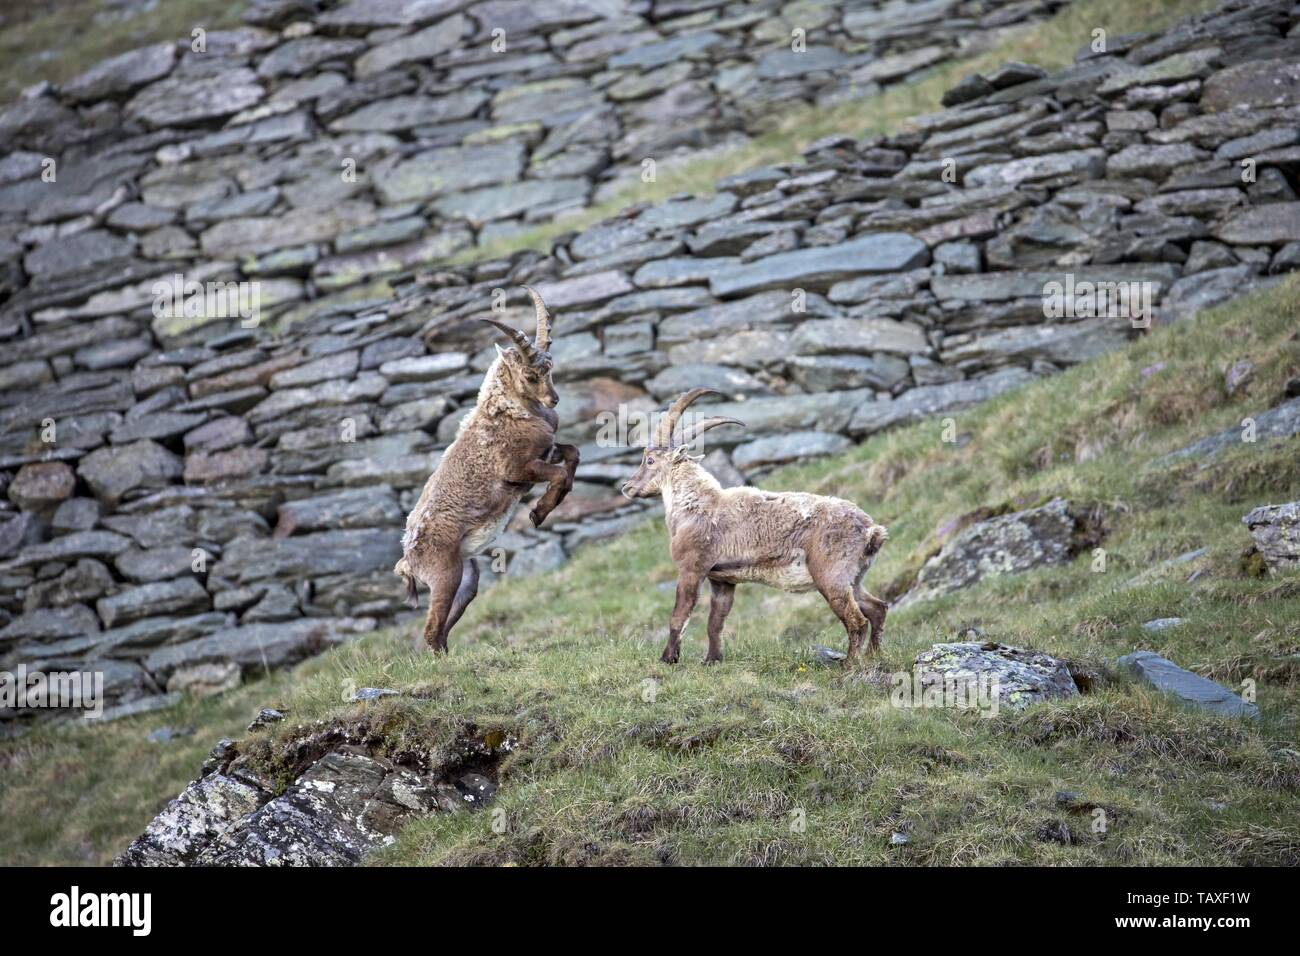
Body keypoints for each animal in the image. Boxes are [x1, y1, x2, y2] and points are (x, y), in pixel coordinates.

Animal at [395, 287, 579, 653]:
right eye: (530, 375)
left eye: (550, 368)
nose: (553, 400)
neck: (508, 410)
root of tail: (408, 559)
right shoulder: (517, 470)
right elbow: (560, 475)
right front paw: (538, 513)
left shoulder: (546, 451)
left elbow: (572, 455)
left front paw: (544, 508)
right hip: (444, 575)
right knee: (431, 630)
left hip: (467, 575)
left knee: (444, 627)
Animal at [621, 389, 888, 665]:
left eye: (650, 460)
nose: (627, 487)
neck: (694, 504)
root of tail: (872, 531)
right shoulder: (722, 580)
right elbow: (715, 622)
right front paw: (712, 660)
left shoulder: (691, 568)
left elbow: (679, 616)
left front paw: (668, 659)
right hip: (854, 578)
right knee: (878, 608)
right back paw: (875, 655)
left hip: (831, 576)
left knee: (857, 621)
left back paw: (850, 664)